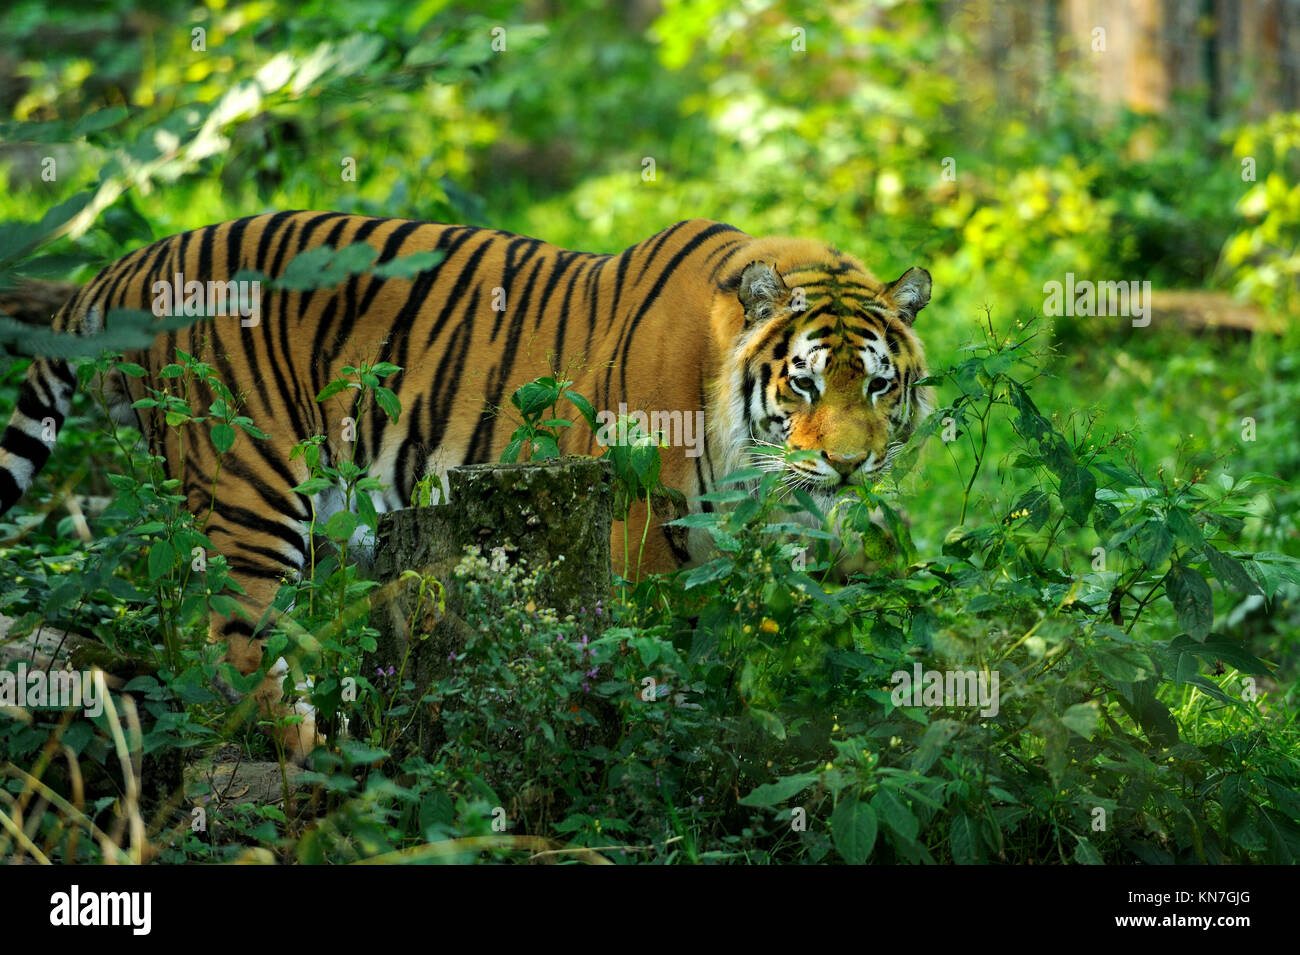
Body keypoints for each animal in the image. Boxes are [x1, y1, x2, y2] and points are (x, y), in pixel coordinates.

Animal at [0, 212, 931, 761]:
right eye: (804, 384)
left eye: (879, 385)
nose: (850, 465)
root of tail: (130, 263)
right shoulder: (638, 529)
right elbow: (650, 663)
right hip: (248, 484)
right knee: (232, 641)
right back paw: (309, 755)